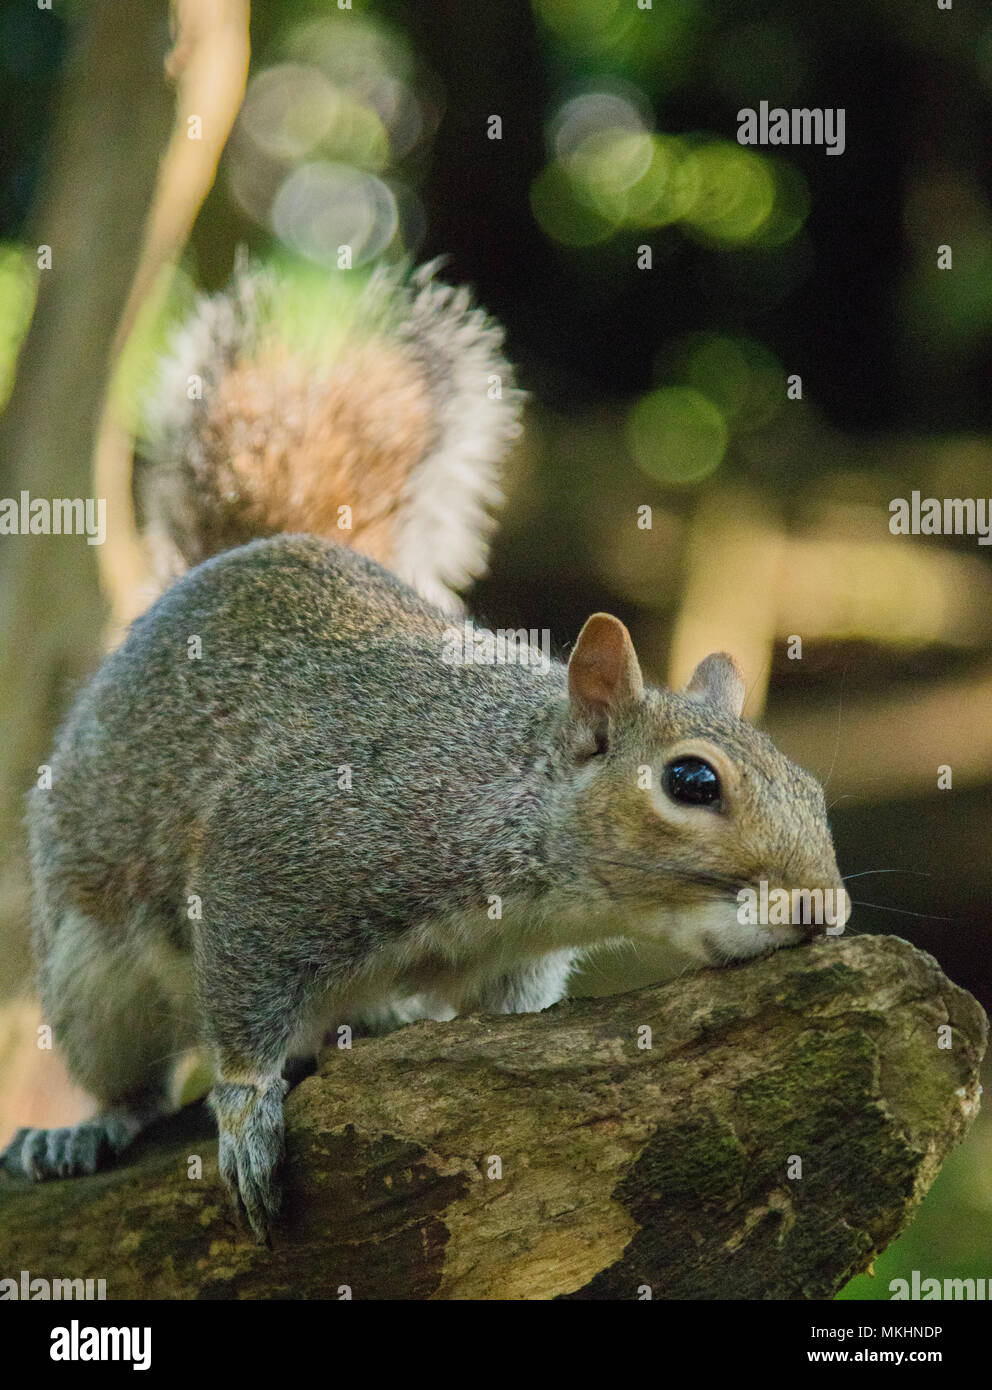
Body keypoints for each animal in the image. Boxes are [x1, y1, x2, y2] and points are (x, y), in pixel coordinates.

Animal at [1, 259, 847, 1244]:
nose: (824, 911)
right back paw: (82, 1131)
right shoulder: (281, 856)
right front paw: (247, 1116)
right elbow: (243, 1013)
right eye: (690, 780)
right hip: (91, 966)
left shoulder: (512, 968)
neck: (509, 803)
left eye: (814, 789)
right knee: (122, 1072)